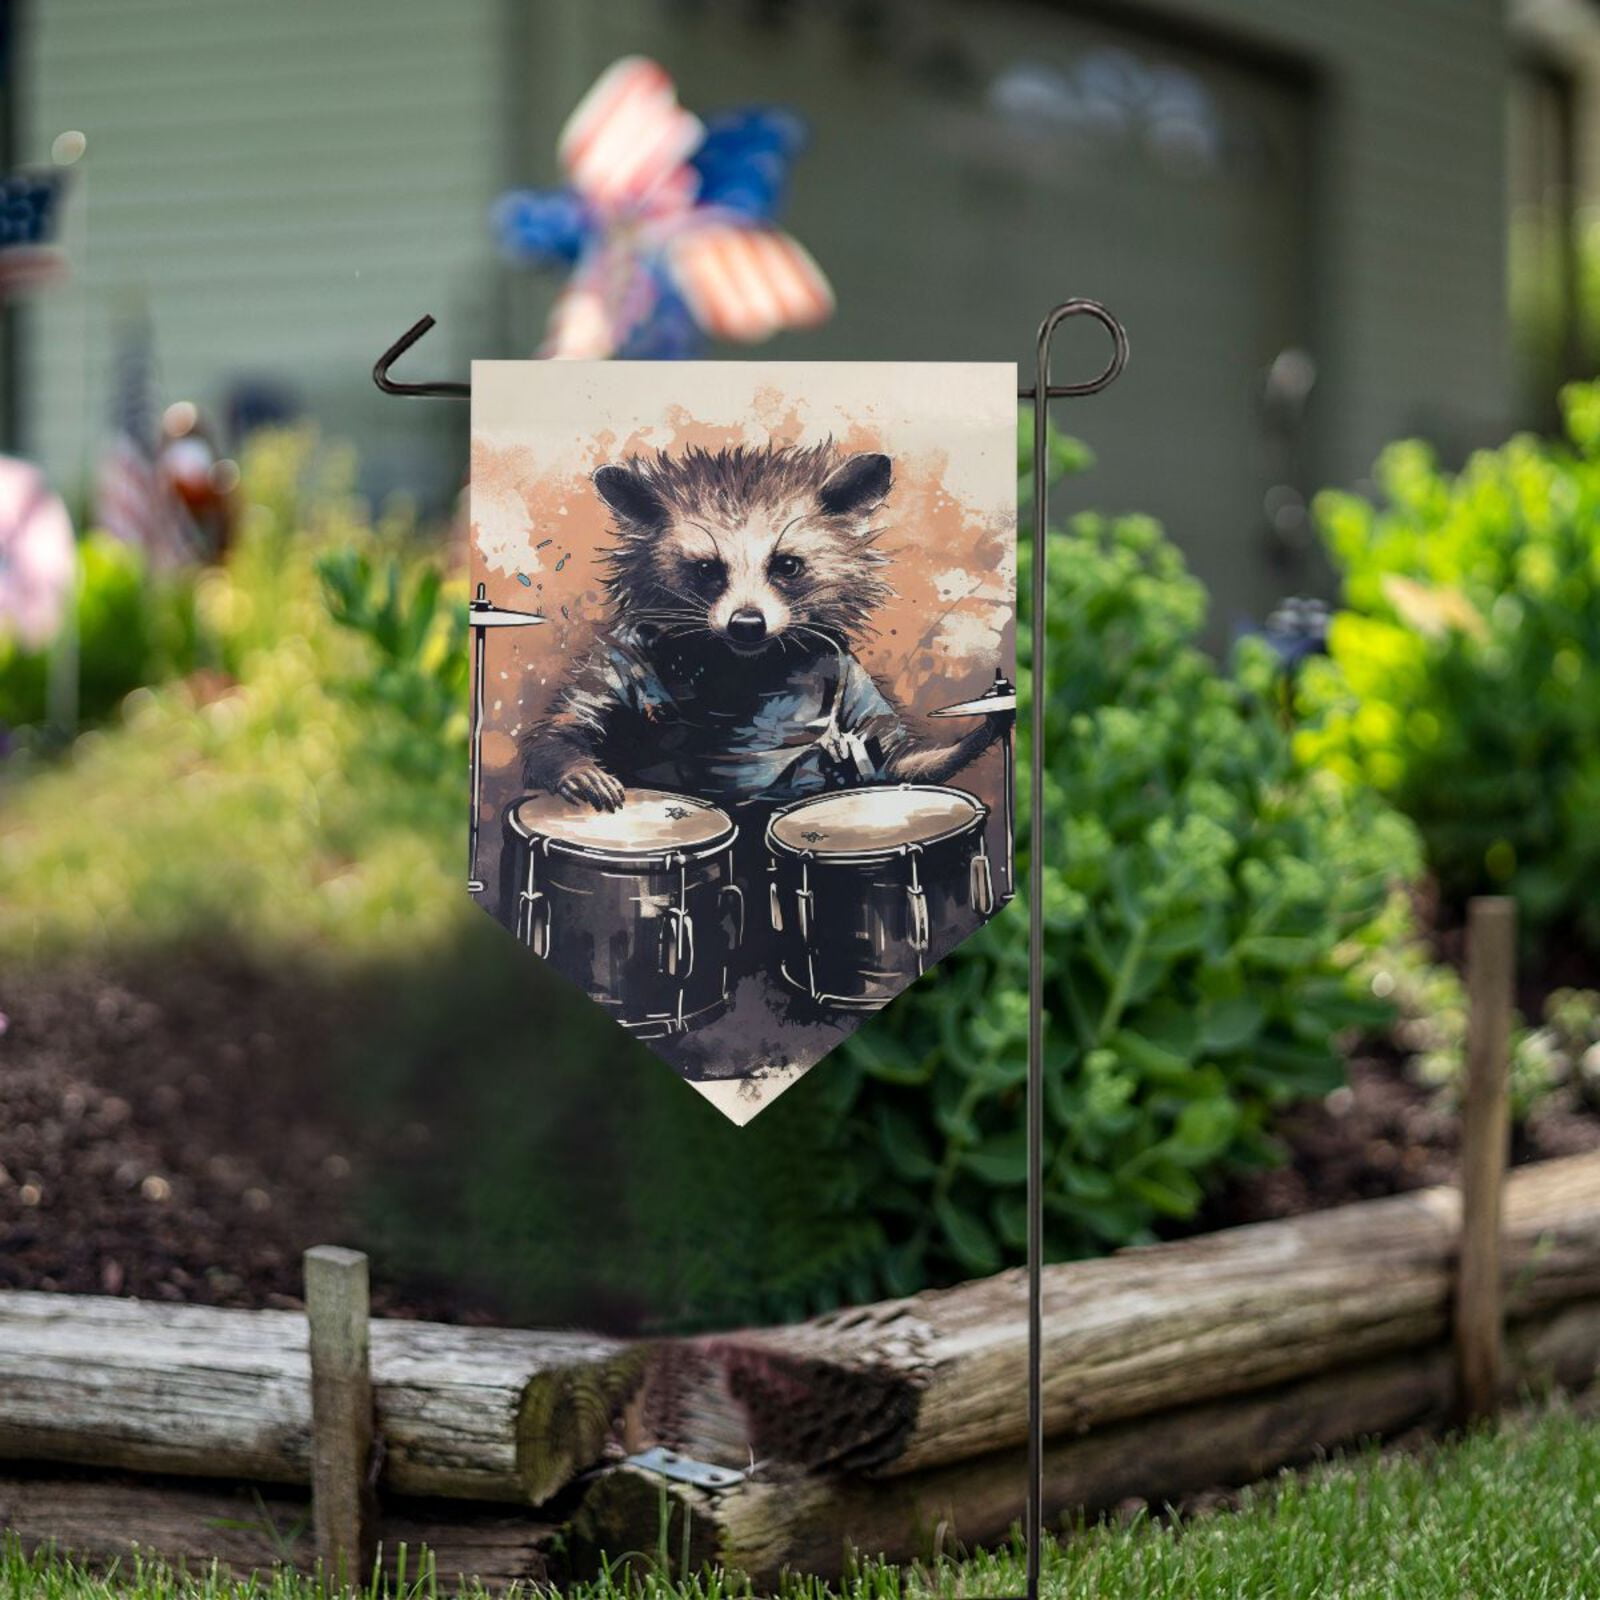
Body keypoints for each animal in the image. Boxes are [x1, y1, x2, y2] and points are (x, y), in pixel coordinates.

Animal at [519, 441, 1007, 814]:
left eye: (786, 566)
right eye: (707, 569)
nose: (748, 624)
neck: (743, 666)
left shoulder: (849, 672)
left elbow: (896, 760)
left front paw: (979, 733)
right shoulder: (624, 652)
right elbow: (564, 726)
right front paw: (574, 766)